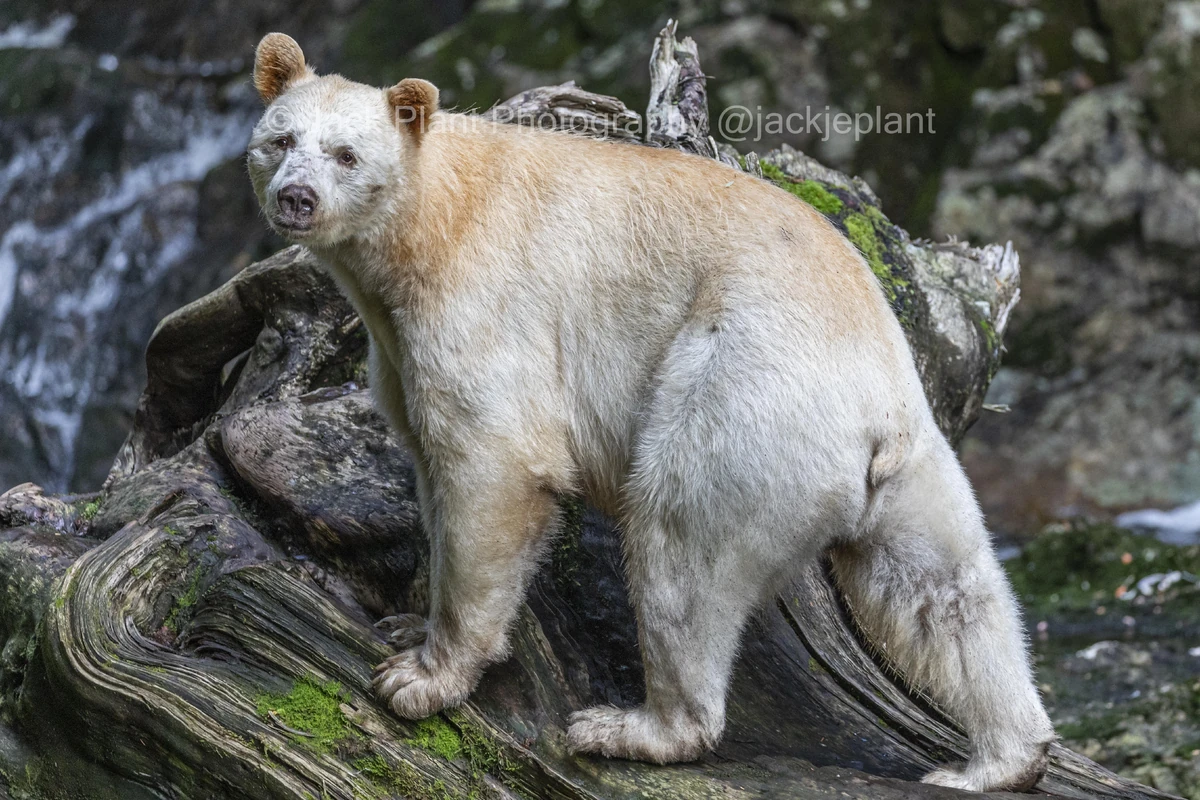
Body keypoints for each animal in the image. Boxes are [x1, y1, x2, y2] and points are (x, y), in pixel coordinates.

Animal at [247, 32, 1056, 792]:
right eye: (280, 140)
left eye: (346, 155)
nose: (297, 197)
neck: (429, 224)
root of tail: (871, 408)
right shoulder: (398, 344)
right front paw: (405, 621)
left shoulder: (483, 305)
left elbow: (494, 468)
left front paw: (421, 677)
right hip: (909, 462)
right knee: (943, 593)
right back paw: (998, 758)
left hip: (735, 395)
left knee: (678, 545)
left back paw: (630, 725)